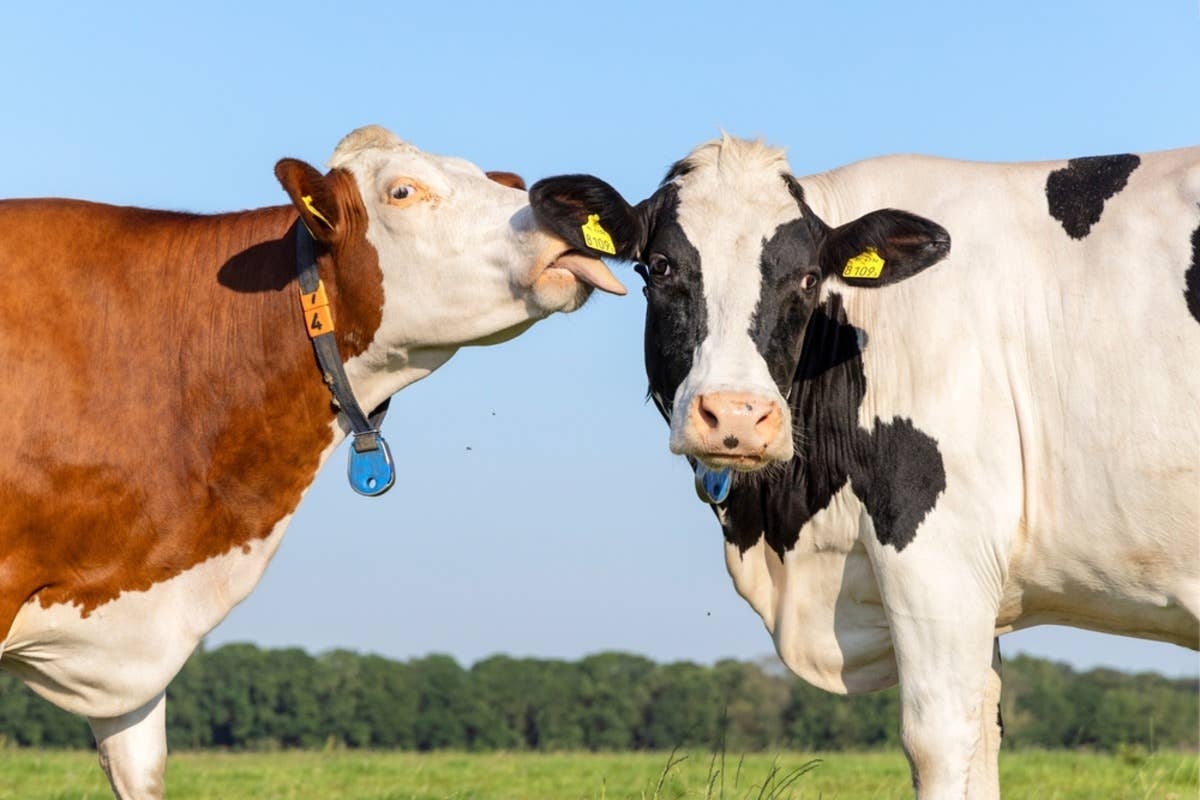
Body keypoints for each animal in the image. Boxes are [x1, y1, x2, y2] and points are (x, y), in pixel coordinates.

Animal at [530, 136, 1200, 799]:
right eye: (660, 267)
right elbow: (983, 739)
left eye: (806, 277)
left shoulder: (939, 552)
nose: (738, 414)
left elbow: (937, 740)